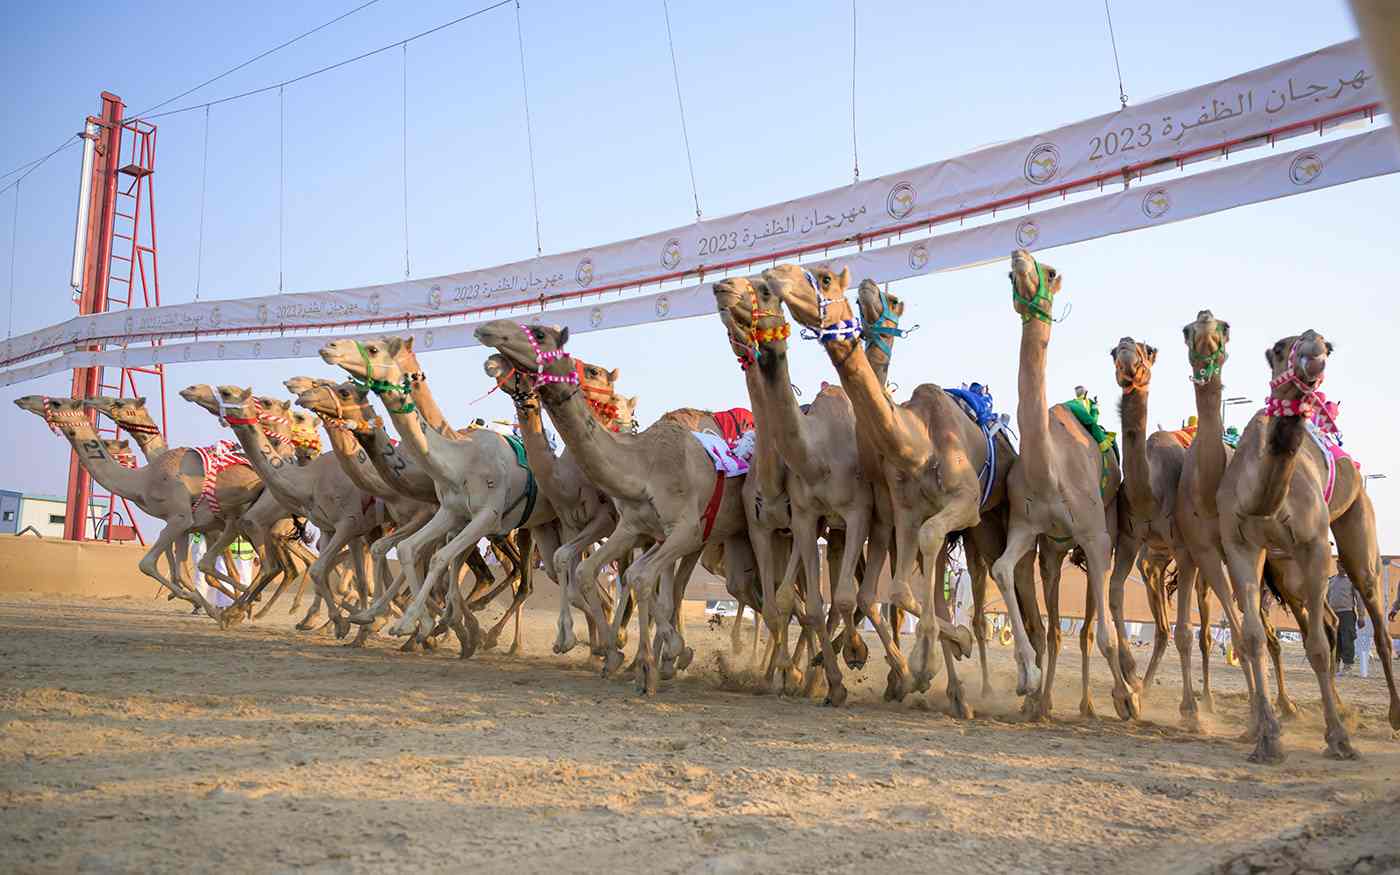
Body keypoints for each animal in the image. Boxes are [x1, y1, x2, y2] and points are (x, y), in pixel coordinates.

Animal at [14, 395, 261, 618]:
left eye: (56, 403)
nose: (22, 399)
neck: (143, 480)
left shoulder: (182, 518)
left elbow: (148, 564)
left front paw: (210, 605)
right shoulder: (186, 524)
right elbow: (180, 572)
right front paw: (204, 605)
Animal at [473, 320, 759, 695]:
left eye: (539, 333)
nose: (488, 333)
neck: (643, 468)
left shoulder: (680, 528)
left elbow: (638, 579)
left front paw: (649, 659)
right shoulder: (629, 527)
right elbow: (585, 568)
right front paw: (615, 653)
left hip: (711, 536)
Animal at [763, 264, 1035, 717]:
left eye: (825, 278)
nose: (776, 274)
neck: (917, 447)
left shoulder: (959, 505)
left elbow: (886, 589)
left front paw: (921, 664)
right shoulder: (901, 516)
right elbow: (894, 592)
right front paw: (920, 664)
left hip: (985, 523)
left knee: (998, 580)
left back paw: (1015, 680)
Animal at [984, 249, 1139, 720]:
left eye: (1050, 272)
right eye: (1008, 275)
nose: (1019, 255)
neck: (1048, 468)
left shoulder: (1094, 534)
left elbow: (1103, 631)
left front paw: (1127, 697)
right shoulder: (1027, 528)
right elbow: (1001, 569)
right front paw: (1027, 678)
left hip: (1103, 533)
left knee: (1093, 621)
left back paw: (1102, 697)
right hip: (1054, 552)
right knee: (1056, 626)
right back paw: (1047, 701)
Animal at [1218, 330, 1399, 762]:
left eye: (1328, 346)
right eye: (1278, 349)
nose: (1314, 349)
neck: (1265, 499)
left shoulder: (1315, 545)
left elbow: (1315, 645)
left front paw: (1339, 739)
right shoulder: (1240, 548)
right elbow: (1254, 639)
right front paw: (1267, 738)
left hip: (1355, 532)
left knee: (1374, 622)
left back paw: (1392, 717)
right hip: (1287, 573)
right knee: (1329, 623)